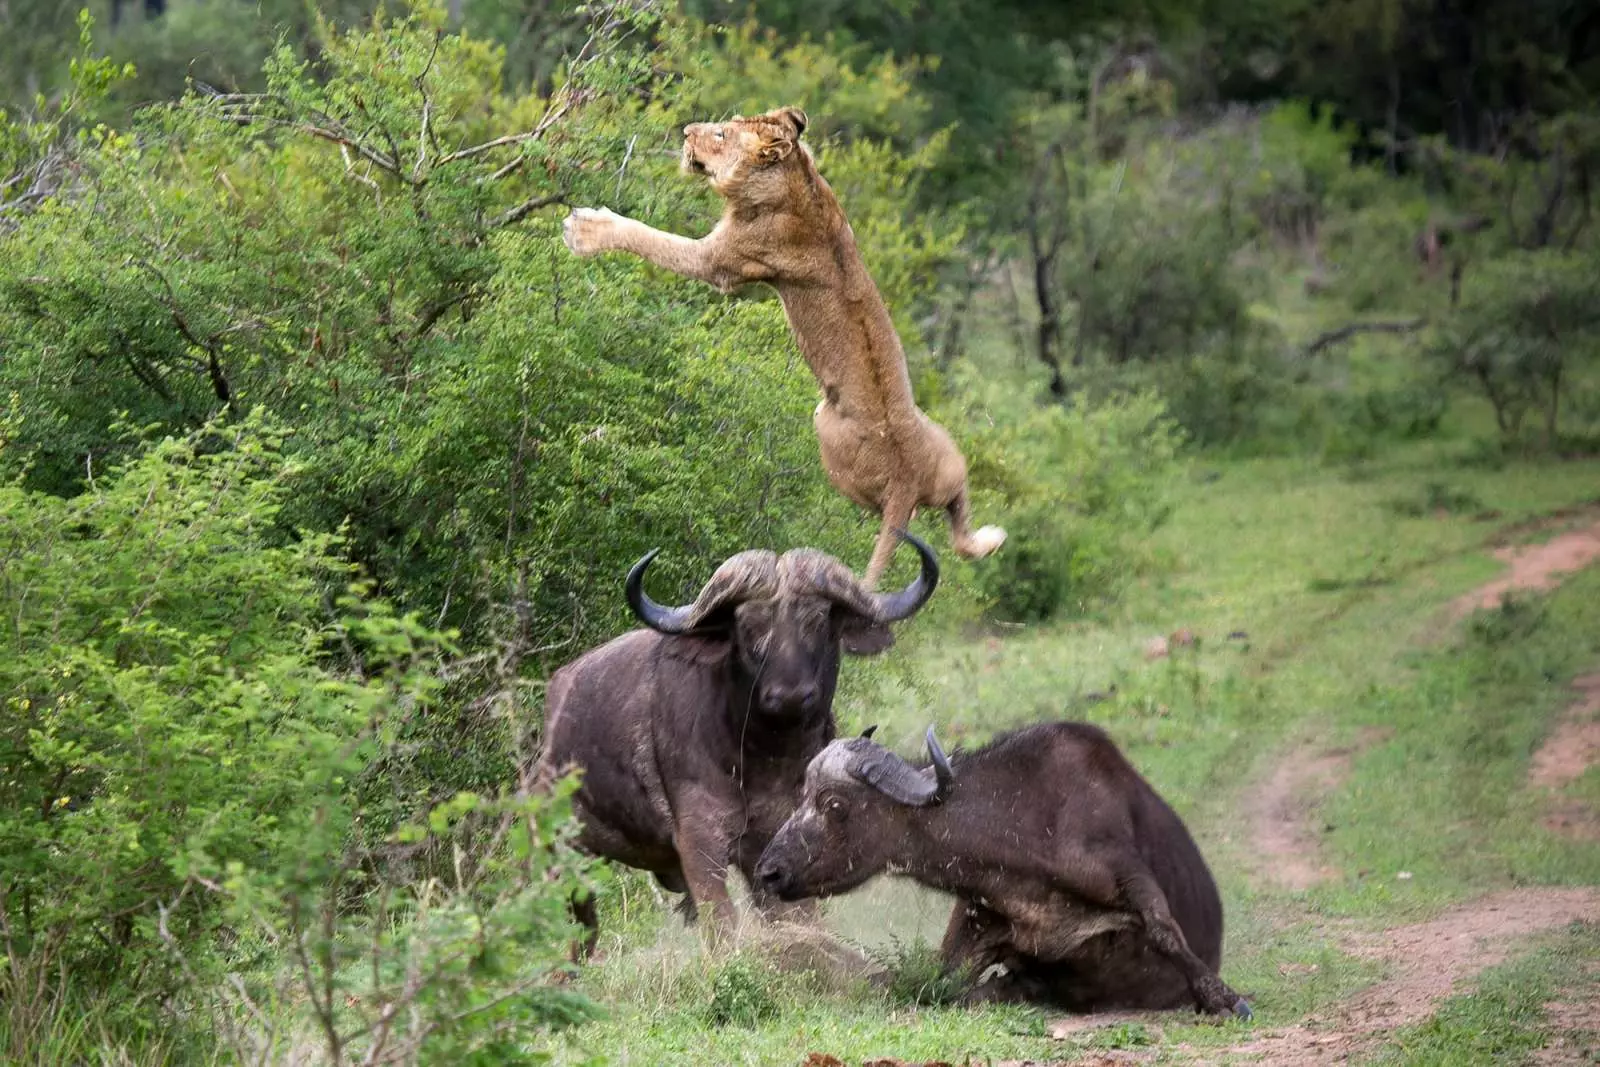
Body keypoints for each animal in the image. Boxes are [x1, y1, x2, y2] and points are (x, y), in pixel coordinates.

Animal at [528, 531, 934, 940]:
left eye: (817, 622)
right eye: (749, 626)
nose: (789, 696)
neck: (763, 761)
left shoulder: (775, 846)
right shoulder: (698, 843)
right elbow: (722, 927)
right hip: (564, 860)